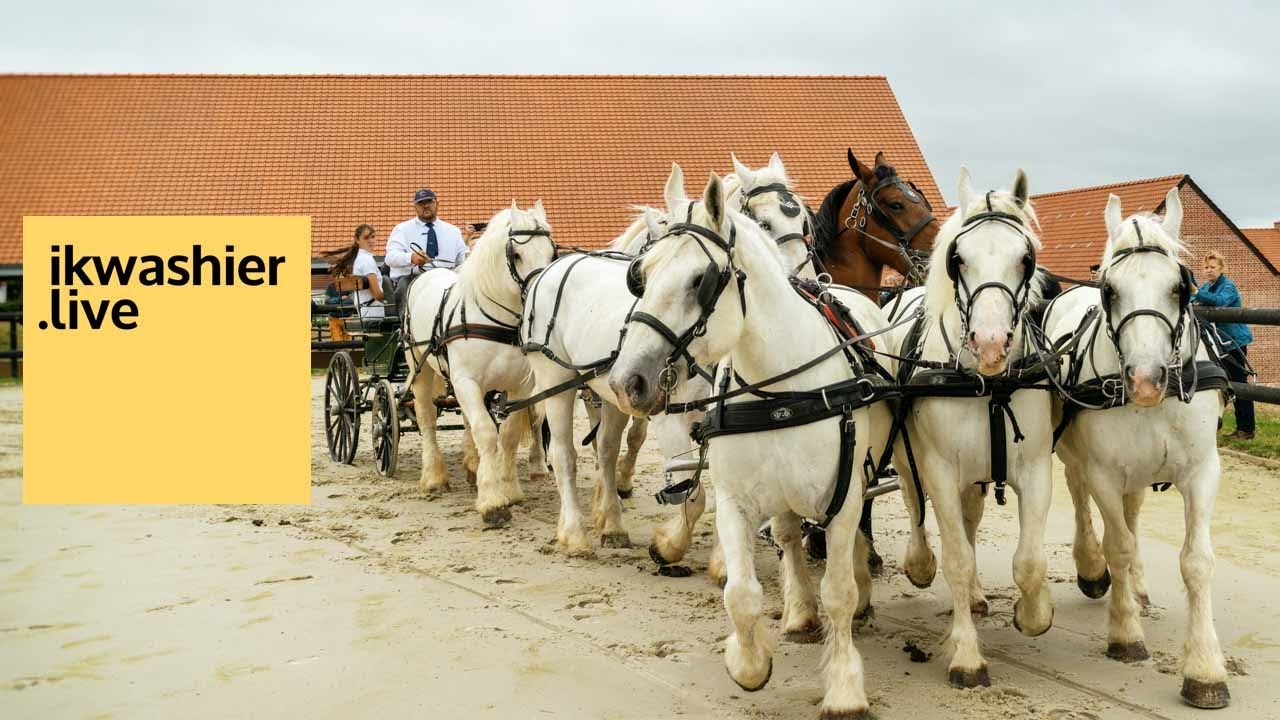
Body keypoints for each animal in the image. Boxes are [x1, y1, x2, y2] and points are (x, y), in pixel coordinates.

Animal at [404, 202, 556, 528]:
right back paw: (433, 478)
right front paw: (492, 502)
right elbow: (486, 432)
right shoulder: (466, 382)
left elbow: (507, 435)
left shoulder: (519, 386)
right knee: (426, 418)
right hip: (420, 369)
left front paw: (509, 489)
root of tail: (427, 272)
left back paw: (473, 467)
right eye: (516, 254)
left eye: (552, 252)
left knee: (467, 422)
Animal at [609, 169, 895, 718]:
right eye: (641, 275)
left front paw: (844, 686)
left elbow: (840, 592)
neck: (781, 390)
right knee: (786, 534)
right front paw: (749, 662)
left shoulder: (843, 496)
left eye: (699, 279)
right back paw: (800, 610)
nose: (626, 380)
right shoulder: (735, 500)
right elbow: (740, 592)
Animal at [884, 167, 1055, 688]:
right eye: (958, 258)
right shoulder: (939, 470)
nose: (991, 344)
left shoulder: (1036, 470)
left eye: (1026, 258)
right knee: (913, 502)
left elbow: (1029, 561)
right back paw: (920, 563)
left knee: (971, 519)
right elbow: (955, 559)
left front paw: (1033, 615)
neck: (989, 385)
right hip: (906, 454)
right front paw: (966, 655)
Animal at [1045, 189, 1232, 709]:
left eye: (1179, 288)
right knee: (1081, 498)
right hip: (1077, 457)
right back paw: (1093, 569)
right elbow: (1119, 546)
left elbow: (1197, 561)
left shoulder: (1203, 471)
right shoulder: (1104, 473)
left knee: (1132, 512)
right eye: (1110, 290)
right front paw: (1125, 634)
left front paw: (1205, 669)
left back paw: (1140, 588)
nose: (1146, 380)